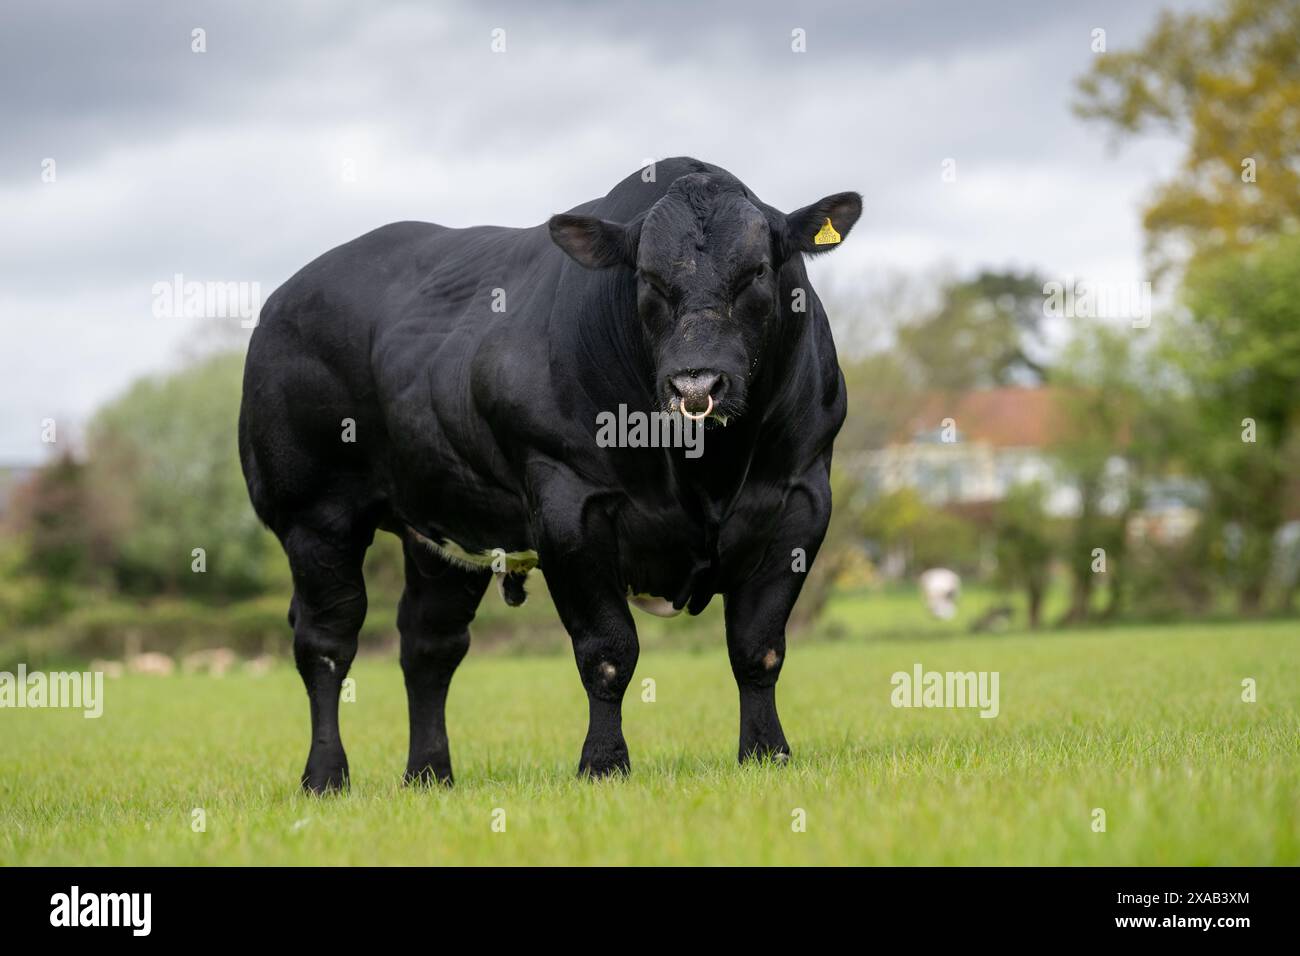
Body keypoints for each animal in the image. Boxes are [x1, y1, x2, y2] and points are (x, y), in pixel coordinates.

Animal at [238, 157, 860, 793]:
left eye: (757, 270)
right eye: (647, 278)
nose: (696, 384)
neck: (707, 470)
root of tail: (285, 297)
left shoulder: (801, 498)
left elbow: (758, 645)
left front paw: (766, 754)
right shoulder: (569, 505)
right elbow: (607, 651)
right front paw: (604, 763)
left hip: (445, 525)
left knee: (428, 644)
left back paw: (430, 774)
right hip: (315, 515)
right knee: (326, 641)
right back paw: (325, 777)